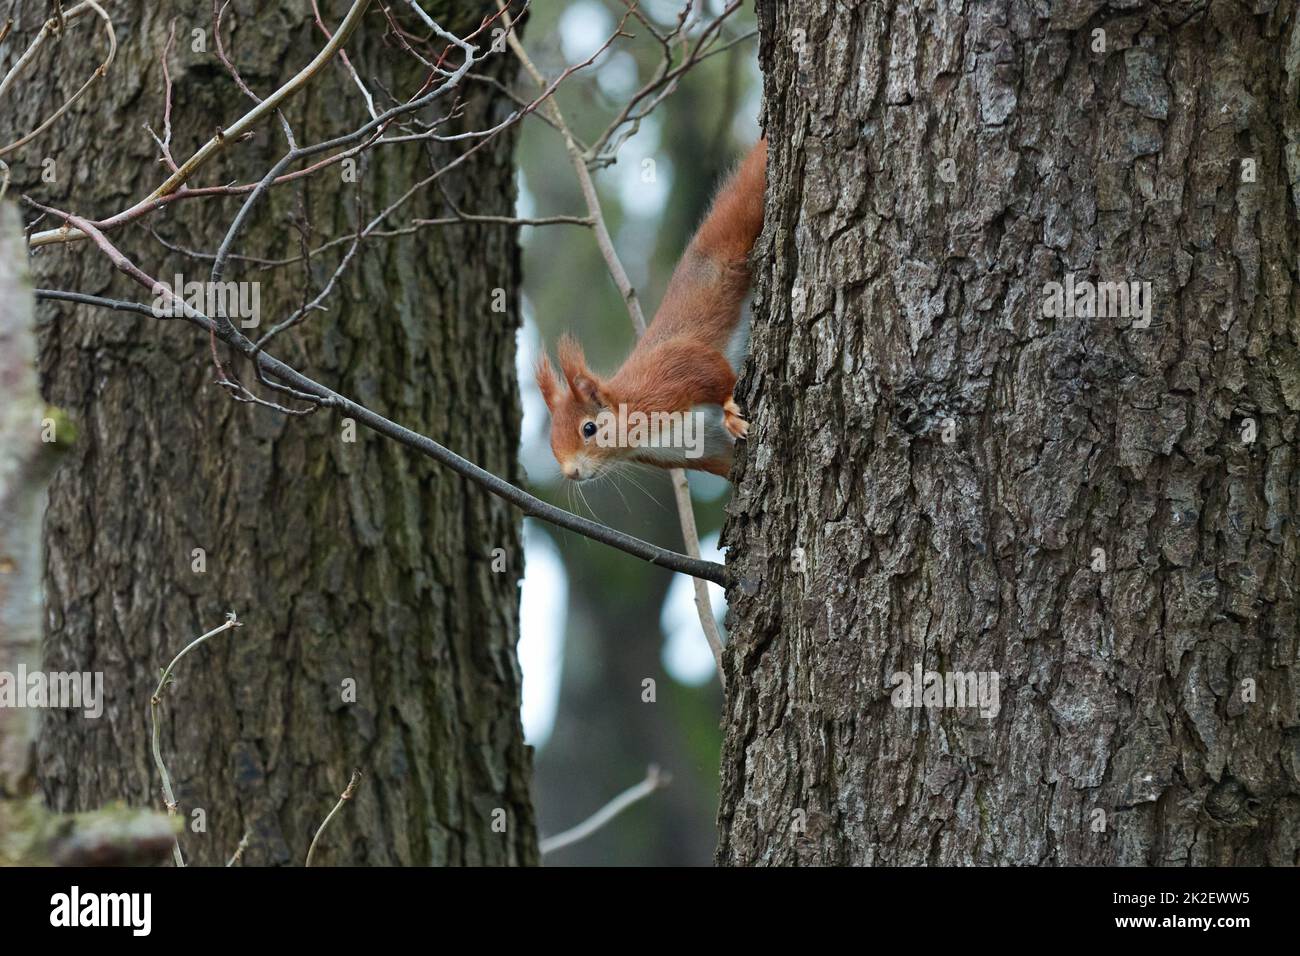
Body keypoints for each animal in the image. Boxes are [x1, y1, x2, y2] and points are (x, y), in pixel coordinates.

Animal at [536, 137, 766, 480]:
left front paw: (730, 409)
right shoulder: (701, 449)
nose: (572, 472)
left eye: (589, 428)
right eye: (553, 444)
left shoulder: (672, 372)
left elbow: (714, 372)